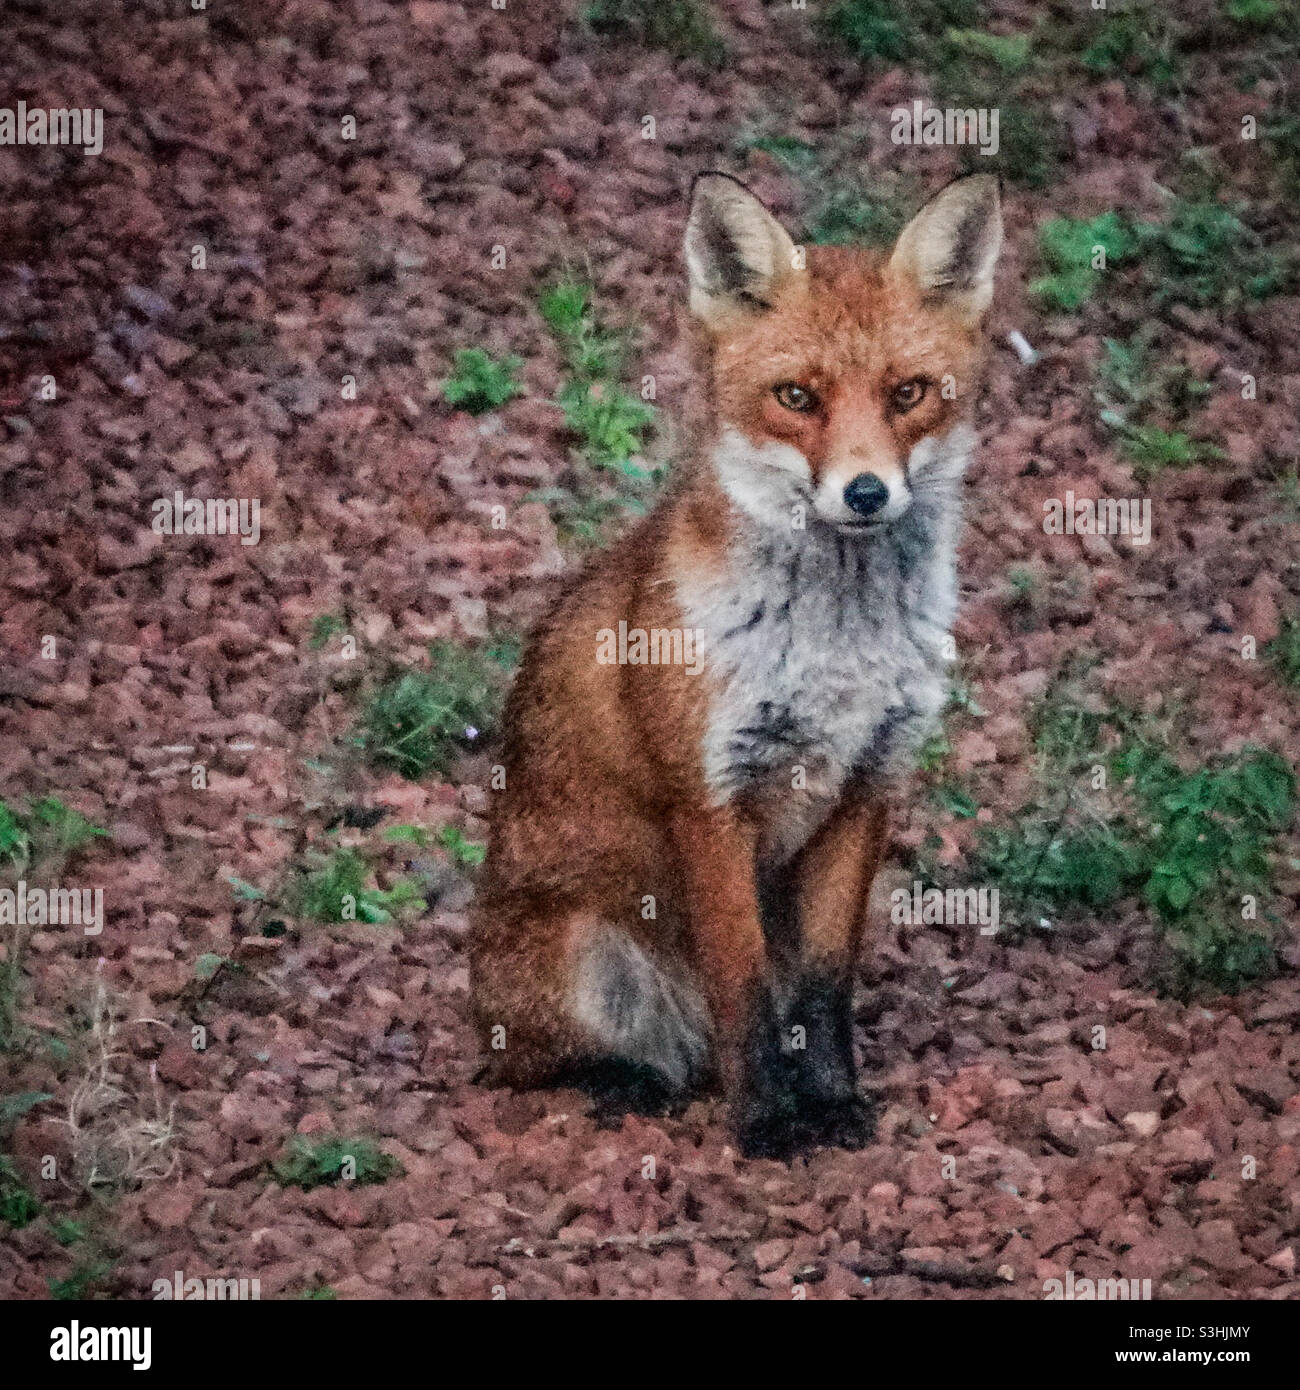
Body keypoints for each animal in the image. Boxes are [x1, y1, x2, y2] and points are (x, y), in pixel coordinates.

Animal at [469, 171, 1003, 1159]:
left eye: (909, 393)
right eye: (796, 397)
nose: (866, 493)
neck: (836, 644)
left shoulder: (865, 786)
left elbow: (823, 987)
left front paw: (830, 1102)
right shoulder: (712, 801)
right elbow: (743, 986)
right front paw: (765, 1125)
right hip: (586, 956)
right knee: (550, 1062)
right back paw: (635, 1081)